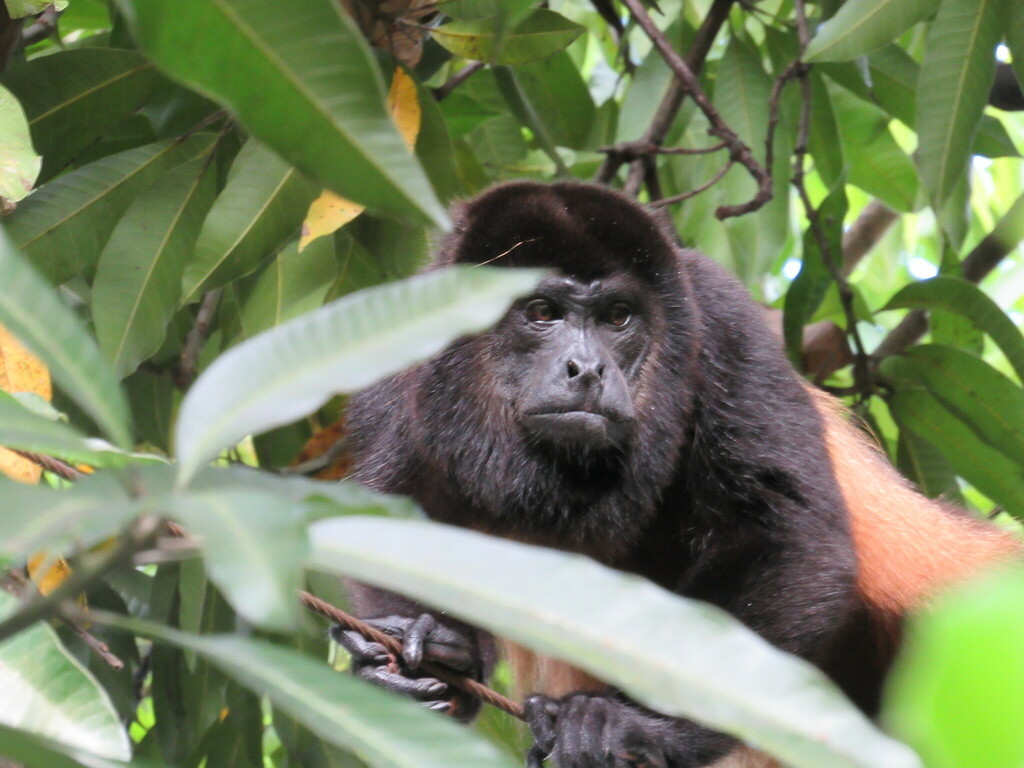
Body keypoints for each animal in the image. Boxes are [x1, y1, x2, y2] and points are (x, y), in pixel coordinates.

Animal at [330, 181, 1020, 768]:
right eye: (541, 310)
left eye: (618, 317)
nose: (588, 369)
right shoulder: (398, 347)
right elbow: (393, 520)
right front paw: (432, 658)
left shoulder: (720, 321)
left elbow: (788, 537)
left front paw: (633, 726)